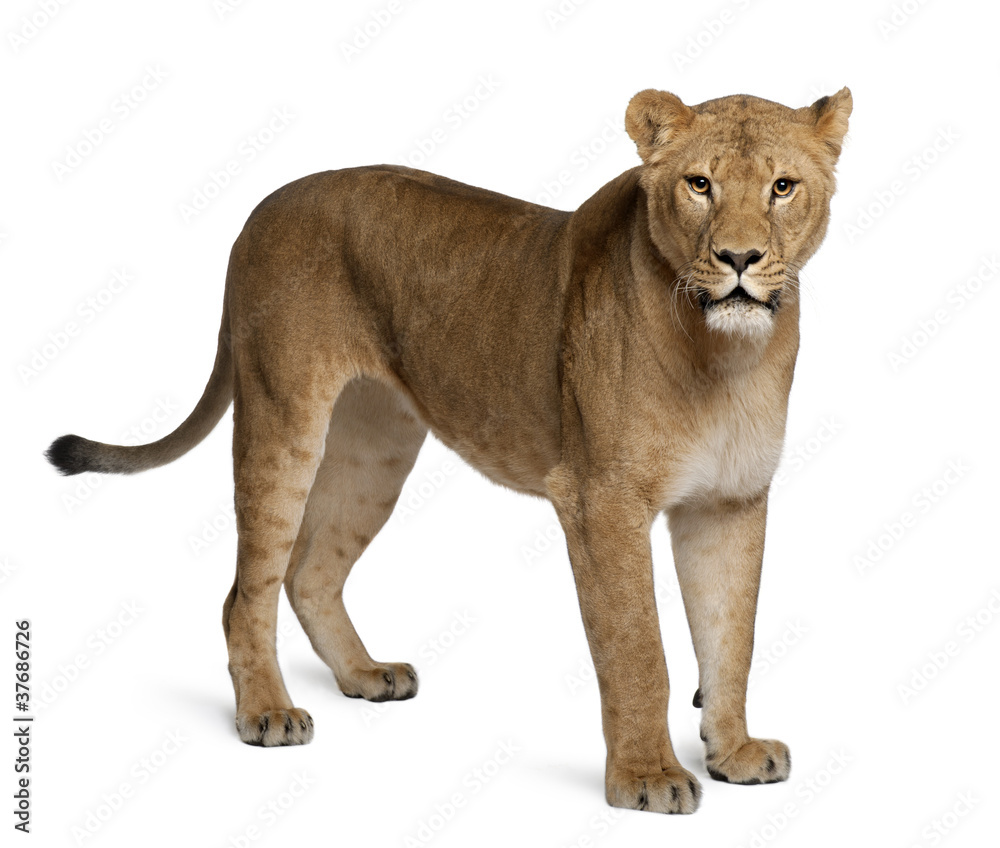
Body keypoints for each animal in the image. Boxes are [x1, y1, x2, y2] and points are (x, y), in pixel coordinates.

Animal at [47, 86, 852, 814]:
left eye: (782, 187)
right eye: (699, 184)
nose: (740, 257)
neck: (726, 360)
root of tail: (263, 206)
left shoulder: (730, 501)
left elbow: (732, 636)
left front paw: (734, 752)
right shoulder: (601, 500)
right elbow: (637, 648)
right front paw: (647, 777)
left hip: (377, 445)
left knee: (309, 571)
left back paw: (366, 675)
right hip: (283, 417)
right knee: (248, 587)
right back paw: (266, 712)